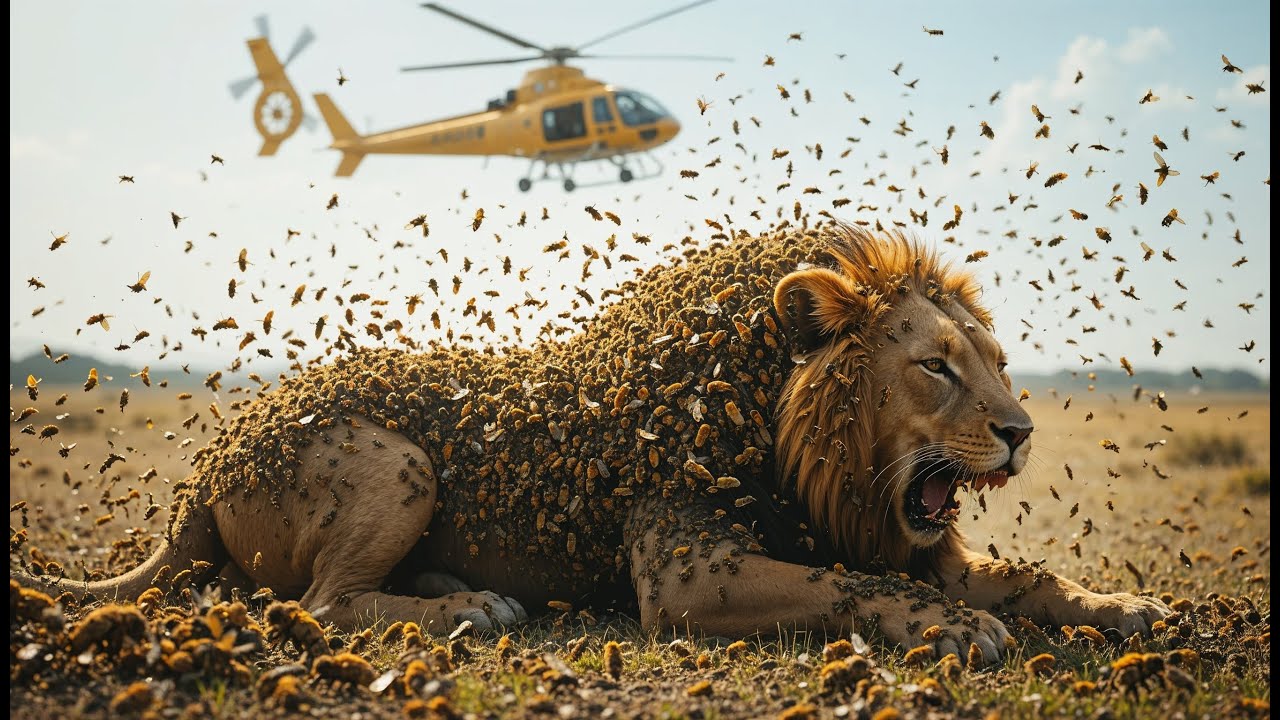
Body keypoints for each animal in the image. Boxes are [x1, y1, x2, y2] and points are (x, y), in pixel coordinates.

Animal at [20, 225, 1168, 664]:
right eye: (933, 367)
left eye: (998, 362)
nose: (1020, 432)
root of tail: (206, 467)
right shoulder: (688, 573)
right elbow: (863, 587)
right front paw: (953, 627)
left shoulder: (915, 538)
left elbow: (1028, 576)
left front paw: (1124, 606)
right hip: (401, 462)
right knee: (319, 603)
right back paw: (470, 611)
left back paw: (453, 590)